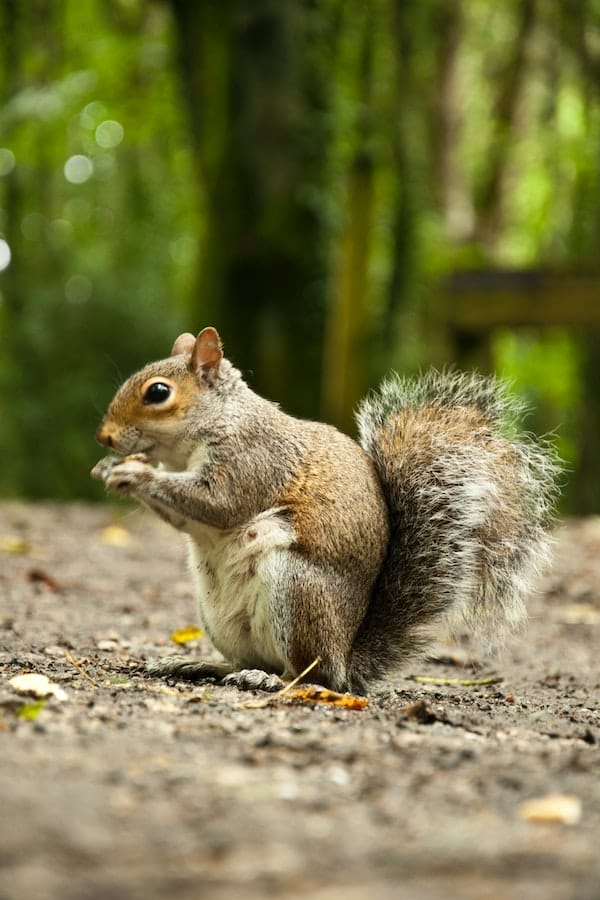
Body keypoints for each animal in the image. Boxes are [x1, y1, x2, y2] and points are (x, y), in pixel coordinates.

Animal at [91, 326, 559, 694]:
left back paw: (271, 680)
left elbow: (219, 505)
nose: (104, 437)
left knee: (308, 676)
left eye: (158, 393)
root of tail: (344, 658)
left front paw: (134, 474)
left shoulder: (254, 460)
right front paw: (111, 469)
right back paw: (201, 664)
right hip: (219, 617)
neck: (217, 422)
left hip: (297, 591)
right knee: (250, 660)